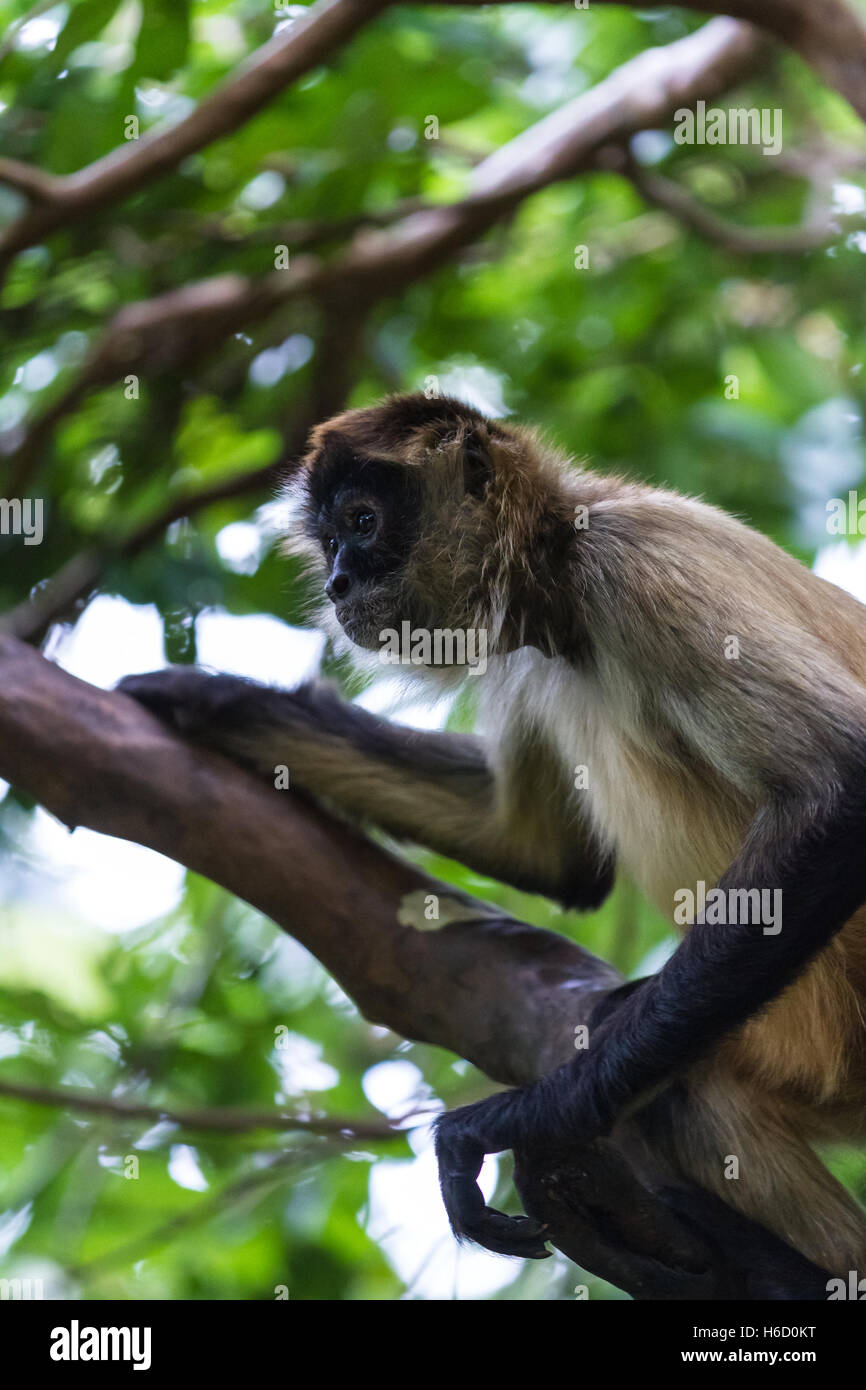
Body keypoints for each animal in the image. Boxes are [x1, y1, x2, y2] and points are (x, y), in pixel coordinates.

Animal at [118, 391, 866, 1284]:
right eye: (329, 542)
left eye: (362, 523)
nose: (337, 582)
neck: (561, 571)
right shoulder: (528, 647)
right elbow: (537, 850)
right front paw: (213, 703)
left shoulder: (632, 566)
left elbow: (835, 784)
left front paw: (529, 1117)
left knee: (688, 1094)